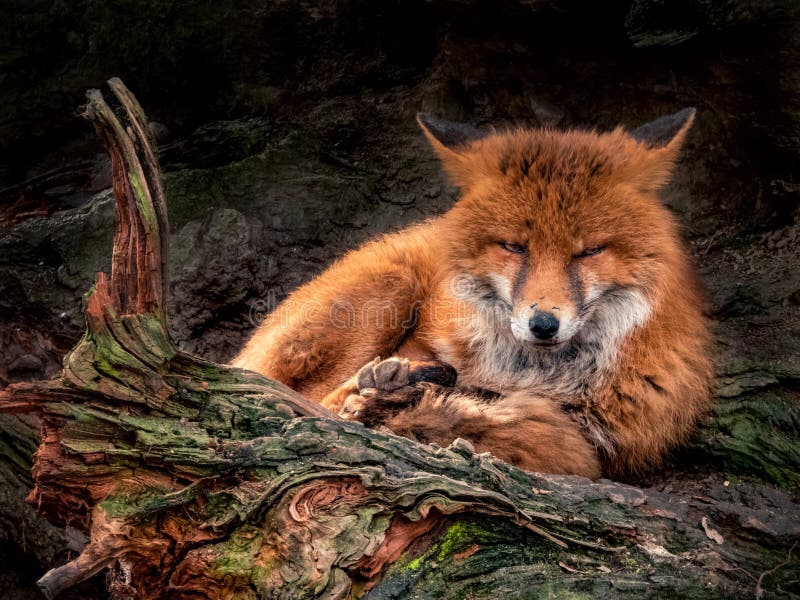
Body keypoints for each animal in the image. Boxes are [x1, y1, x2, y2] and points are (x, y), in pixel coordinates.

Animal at [233, 109, 713, 480]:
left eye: (590, 250)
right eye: (514, 246)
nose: (543, 324)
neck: (527, 376)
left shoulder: (610, 440)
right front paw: (402, 400)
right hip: (390, 287)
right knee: (310, 399)